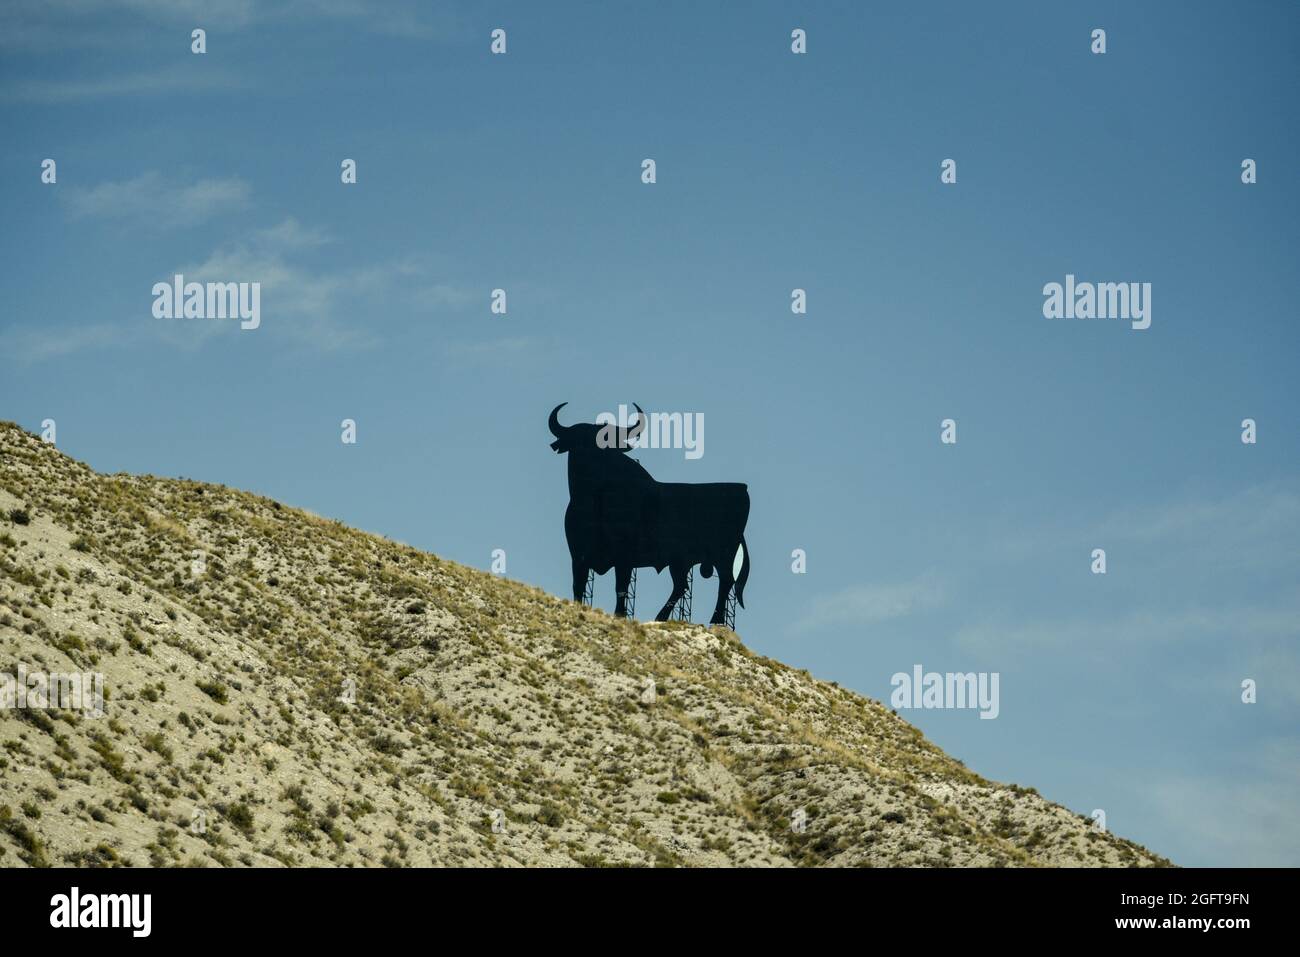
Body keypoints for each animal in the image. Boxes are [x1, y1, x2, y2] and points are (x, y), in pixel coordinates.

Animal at [548, 402, 750, 625]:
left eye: (604, 442)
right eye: (577, 440)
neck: (593, 499)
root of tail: (741, 489)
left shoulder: (624, 556)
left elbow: (621, 587)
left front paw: (620, 614)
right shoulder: (578, 556)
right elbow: (578, 585)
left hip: (723, 553)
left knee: (725, 581)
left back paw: (715, 619)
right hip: (681, 561)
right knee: (682, 586)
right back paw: (661, 617)